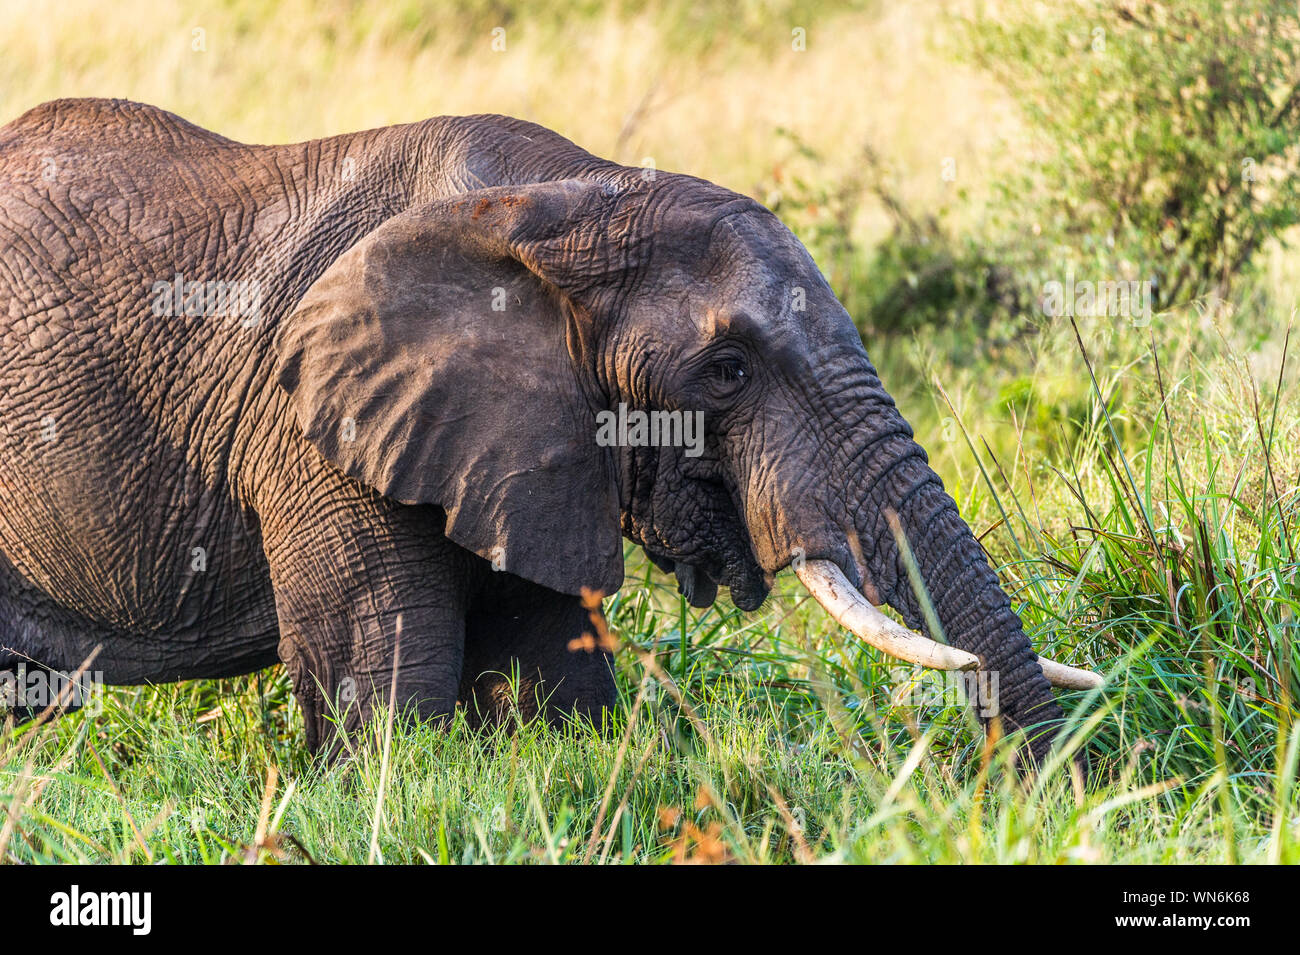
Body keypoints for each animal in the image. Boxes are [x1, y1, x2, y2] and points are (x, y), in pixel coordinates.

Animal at [0, 98, 1098, 762]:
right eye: (728, 371)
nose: (1048, 792)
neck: (566, 199)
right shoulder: (316, 439)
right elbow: (382, 696)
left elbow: (549, 680)